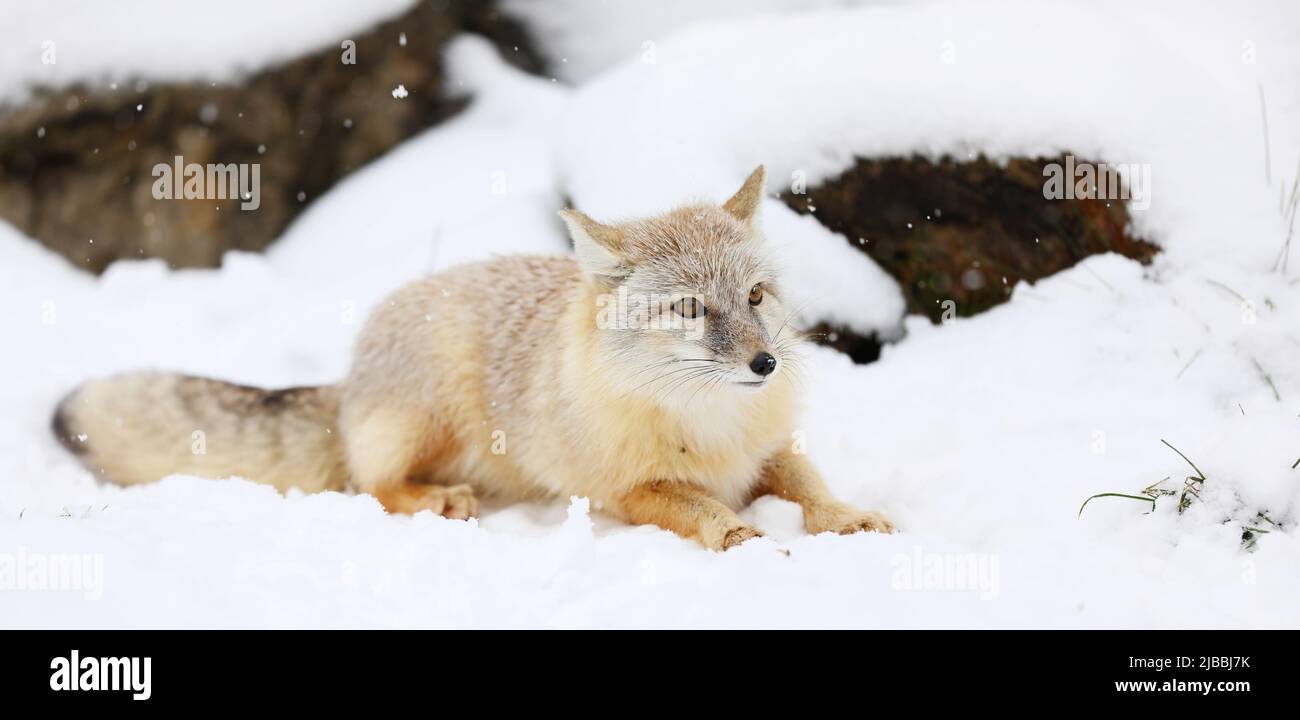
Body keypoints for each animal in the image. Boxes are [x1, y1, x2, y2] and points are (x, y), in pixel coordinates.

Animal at [51, 166, 895, 550]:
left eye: (755, 298)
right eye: (691, 310)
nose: (765, 366)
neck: (709, 427)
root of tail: (350, 373)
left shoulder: (769, 447)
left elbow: (811, 484)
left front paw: (845, 516)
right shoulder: (628, 491)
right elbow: (697, 505)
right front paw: (734, 534)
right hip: (434, 418)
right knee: (374, 487)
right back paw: (438, 502)